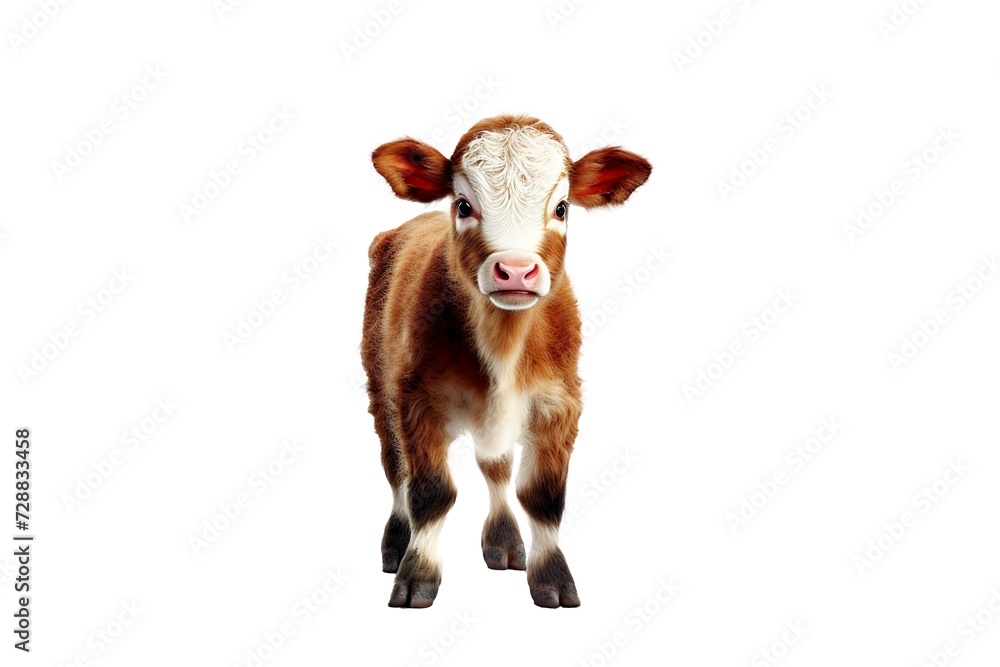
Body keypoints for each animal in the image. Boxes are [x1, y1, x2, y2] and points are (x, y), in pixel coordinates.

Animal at [363, 114, 651, 608]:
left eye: (562, 208)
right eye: (463, 205)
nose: (515, 270)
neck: (503, 345)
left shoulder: (560, 402)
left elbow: (543, 496)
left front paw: (552, 576)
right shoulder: (416, 398)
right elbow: (430, 491)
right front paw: (418, 575)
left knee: (495, 468)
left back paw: (504, 541)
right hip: (379, 388)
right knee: (394, 467)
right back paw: (397, 544)